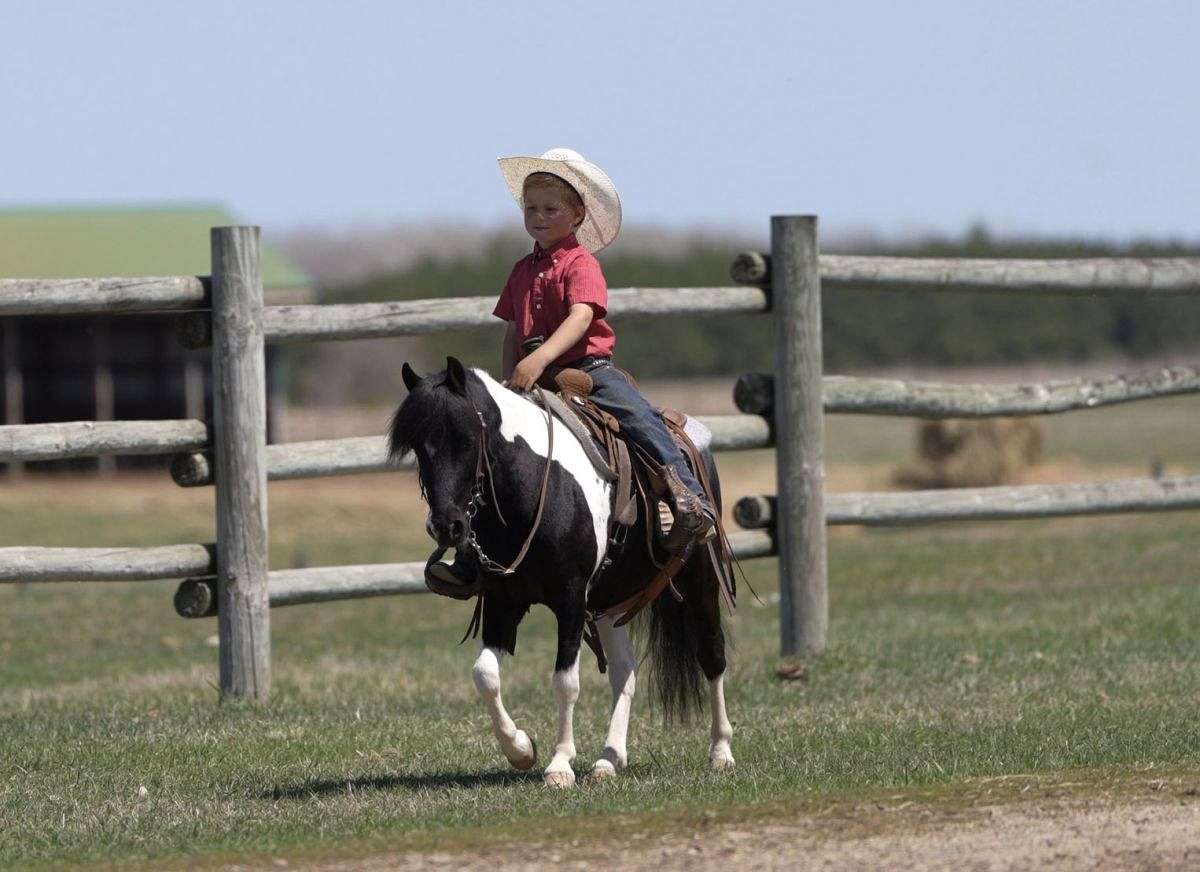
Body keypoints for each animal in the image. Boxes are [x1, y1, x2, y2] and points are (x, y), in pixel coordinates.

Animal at [389, 356, 733, 788]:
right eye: (419, 447)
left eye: (466, 439)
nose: (446, 526)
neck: (535, 485)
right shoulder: (503, 599)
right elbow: (485, 674)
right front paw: (522, 749)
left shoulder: (570, 598)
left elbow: (566, 682)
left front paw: (559, 765)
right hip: (608, 602)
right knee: (625, 672)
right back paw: (609, 759)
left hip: (699, 581)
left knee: (712, 656)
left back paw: (721, 751)